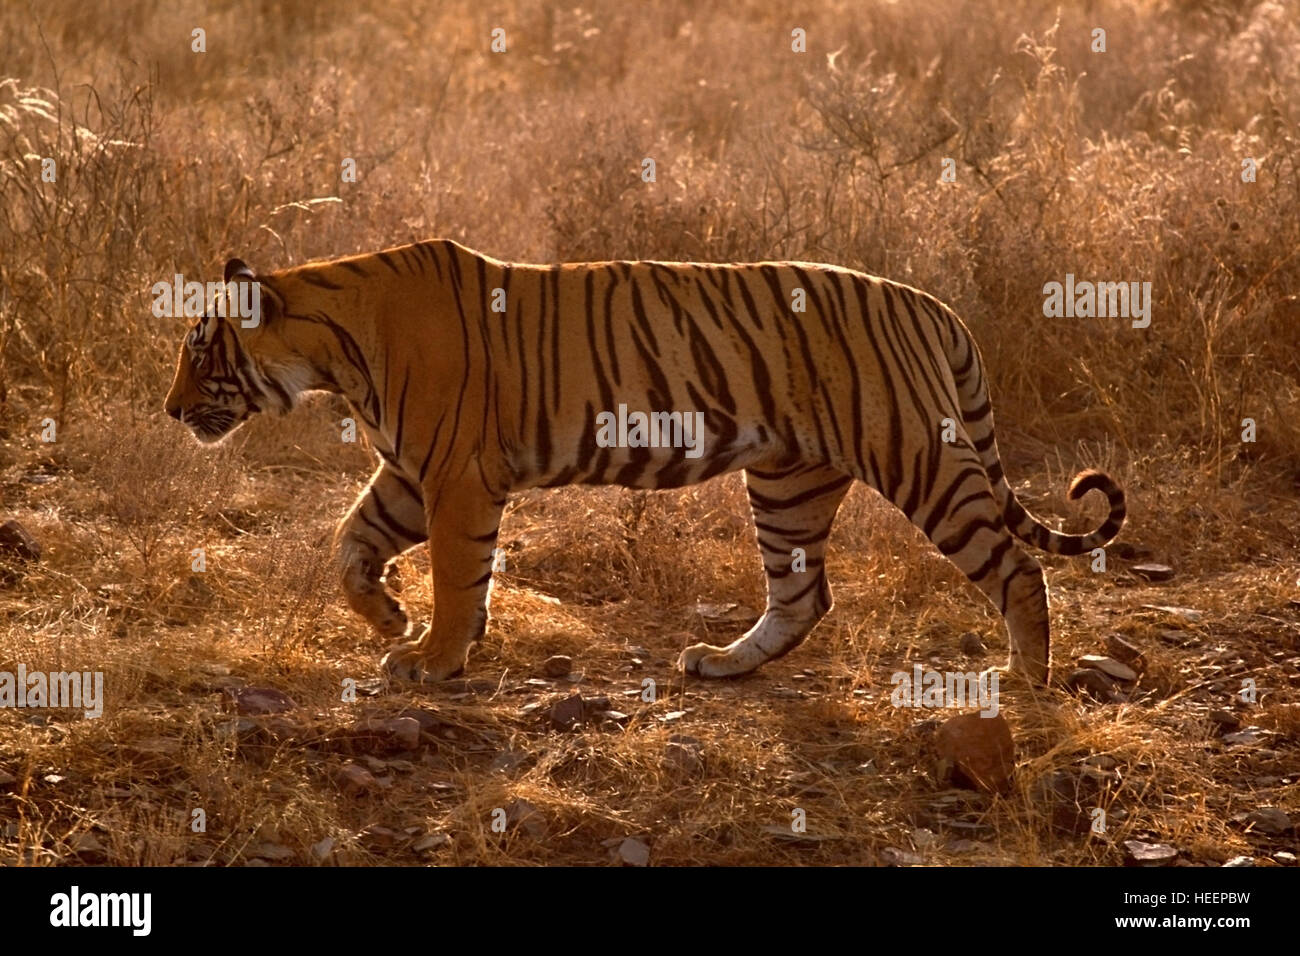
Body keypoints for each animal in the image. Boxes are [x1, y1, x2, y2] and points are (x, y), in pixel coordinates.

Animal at [164, 239, 1125, 686]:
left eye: (200, 352)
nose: (170, 411)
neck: (334, 346)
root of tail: (933, 304)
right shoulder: (409, 472)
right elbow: (350, 544)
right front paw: (390, 617)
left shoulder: (454, 476)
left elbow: (456, 574)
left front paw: (434, 655)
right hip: (788, 481)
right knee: (802, 596)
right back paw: (724, 662)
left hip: (921, 458)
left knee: (1018, 570)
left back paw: (1022, 680)